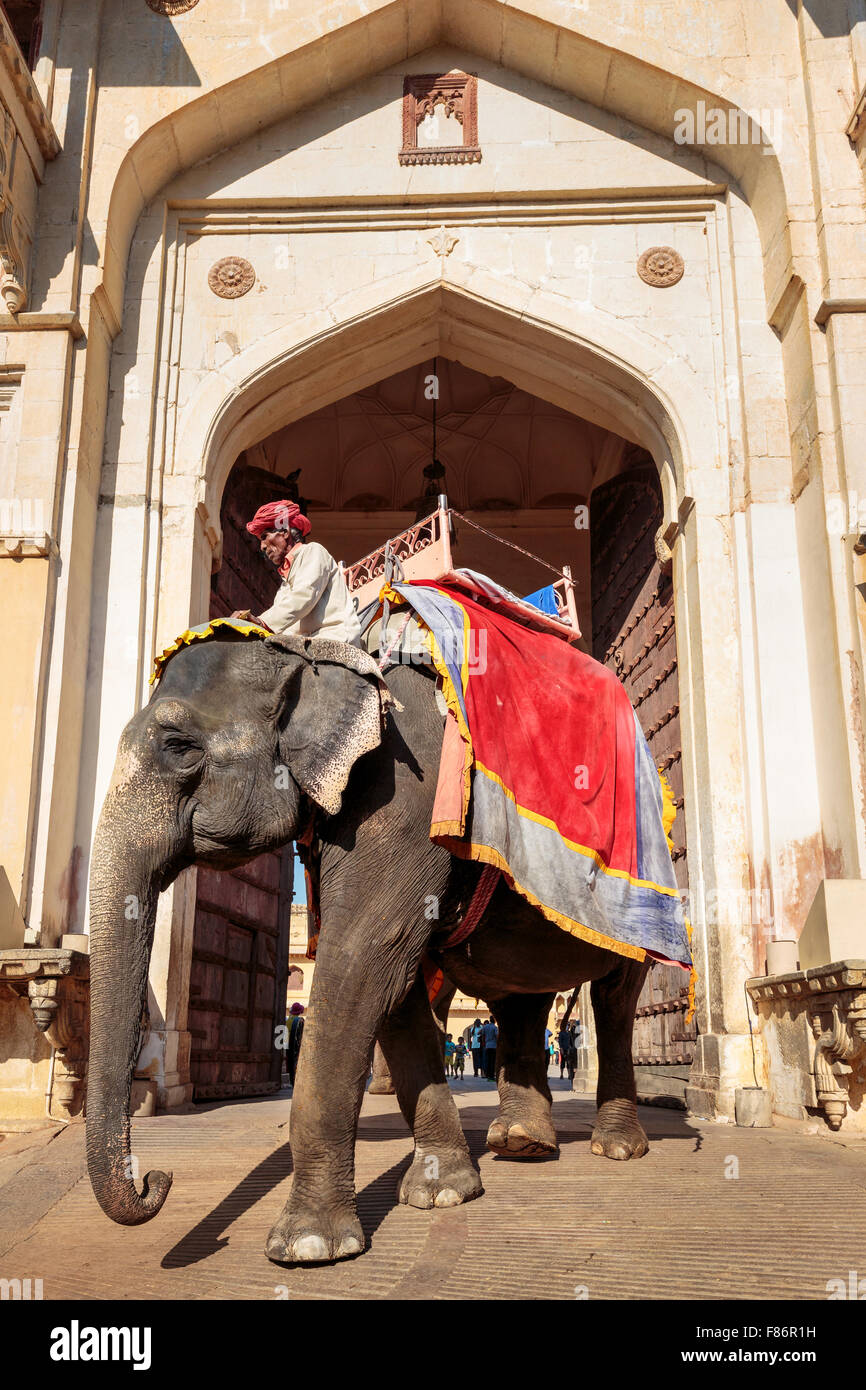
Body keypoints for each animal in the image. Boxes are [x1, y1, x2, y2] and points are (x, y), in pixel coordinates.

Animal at [87, 625, 652, 1264]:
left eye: (179, 746)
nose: (156, 1180)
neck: (319, 655)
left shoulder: (403, 793)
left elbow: (364, 958)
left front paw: (309, 1246)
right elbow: (394, 984)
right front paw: (441, 1192)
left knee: (615, 996)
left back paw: (616, 1147)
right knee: (521, 1000)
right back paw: (522, 1144)